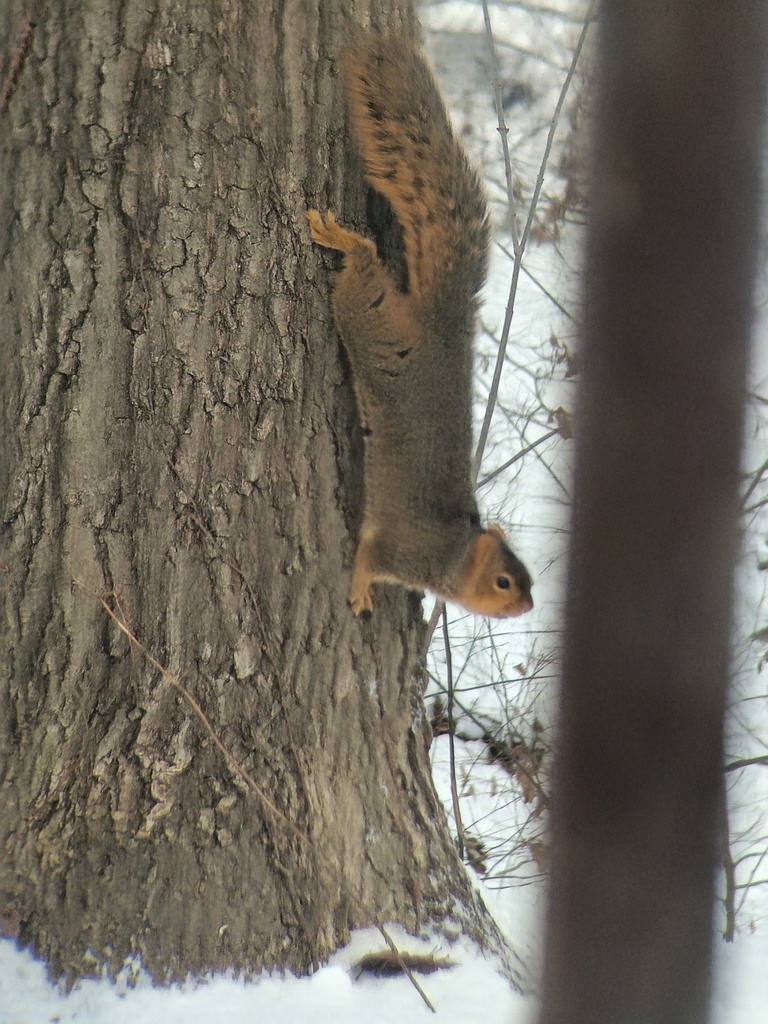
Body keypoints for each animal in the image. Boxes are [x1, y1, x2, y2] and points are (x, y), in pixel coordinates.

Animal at [308, 32, 533, 619]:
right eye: (504, 581)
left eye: (528, 579)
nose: (528, 608)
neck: (451, 556)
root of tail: (442, 331)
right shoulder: (401, 547)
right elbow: (368, 555)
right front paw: (361, 589)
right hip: (374, 325)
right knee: (365, 266)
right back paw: (341, 239)